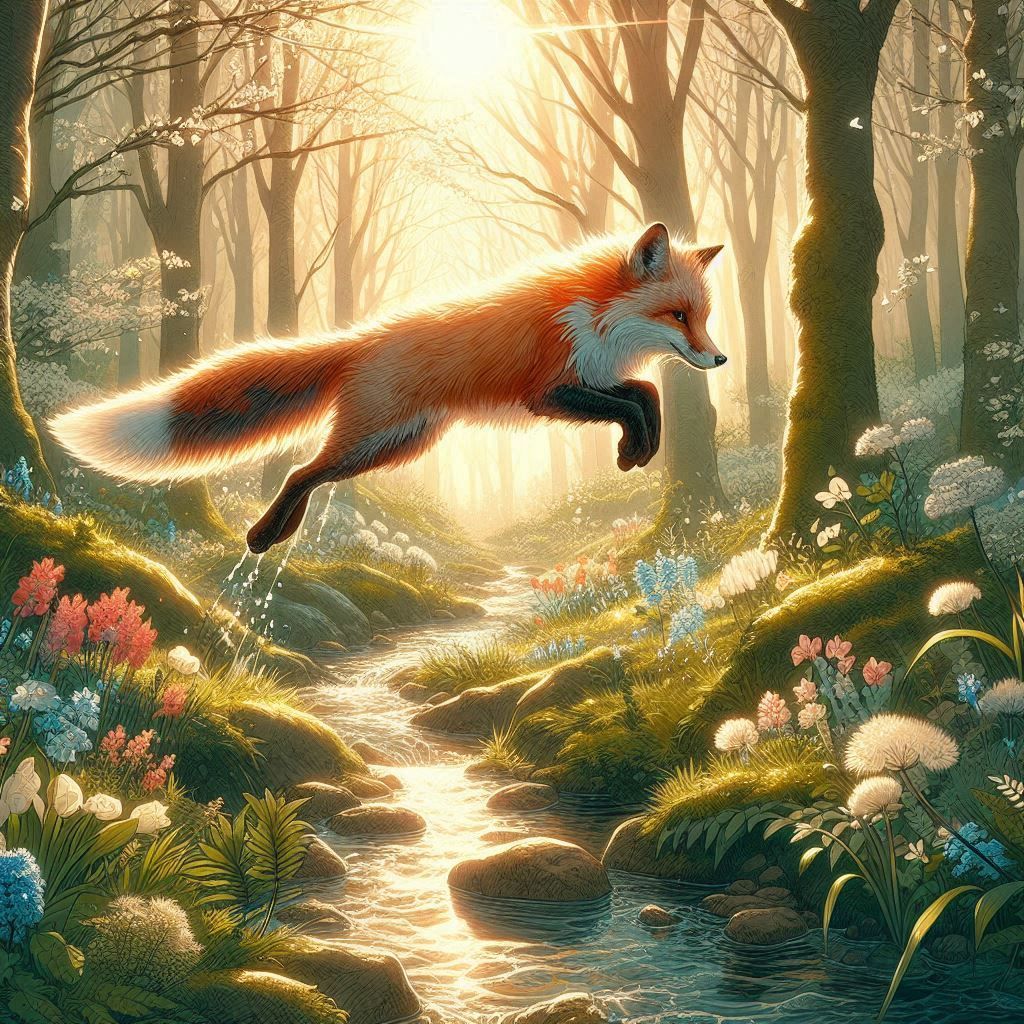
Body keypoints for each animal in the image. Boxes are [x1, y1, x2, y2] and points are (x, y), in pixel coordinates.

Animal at [50, 223, 726, 554]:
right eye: (678, 316)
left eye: (703, 315)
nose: (719, 357)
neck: (594, 315)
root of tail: (362, 337)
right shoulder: (547, 390)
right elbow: (633, 399)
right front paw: (633, 449)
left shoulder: (590, 379)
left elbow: (645, 395)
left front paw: (638, 451)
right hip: (371, 438)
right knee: (300, 470)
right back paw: (263, 537)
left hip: (397, 445)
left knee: (305, 472)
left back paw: (279, 533)